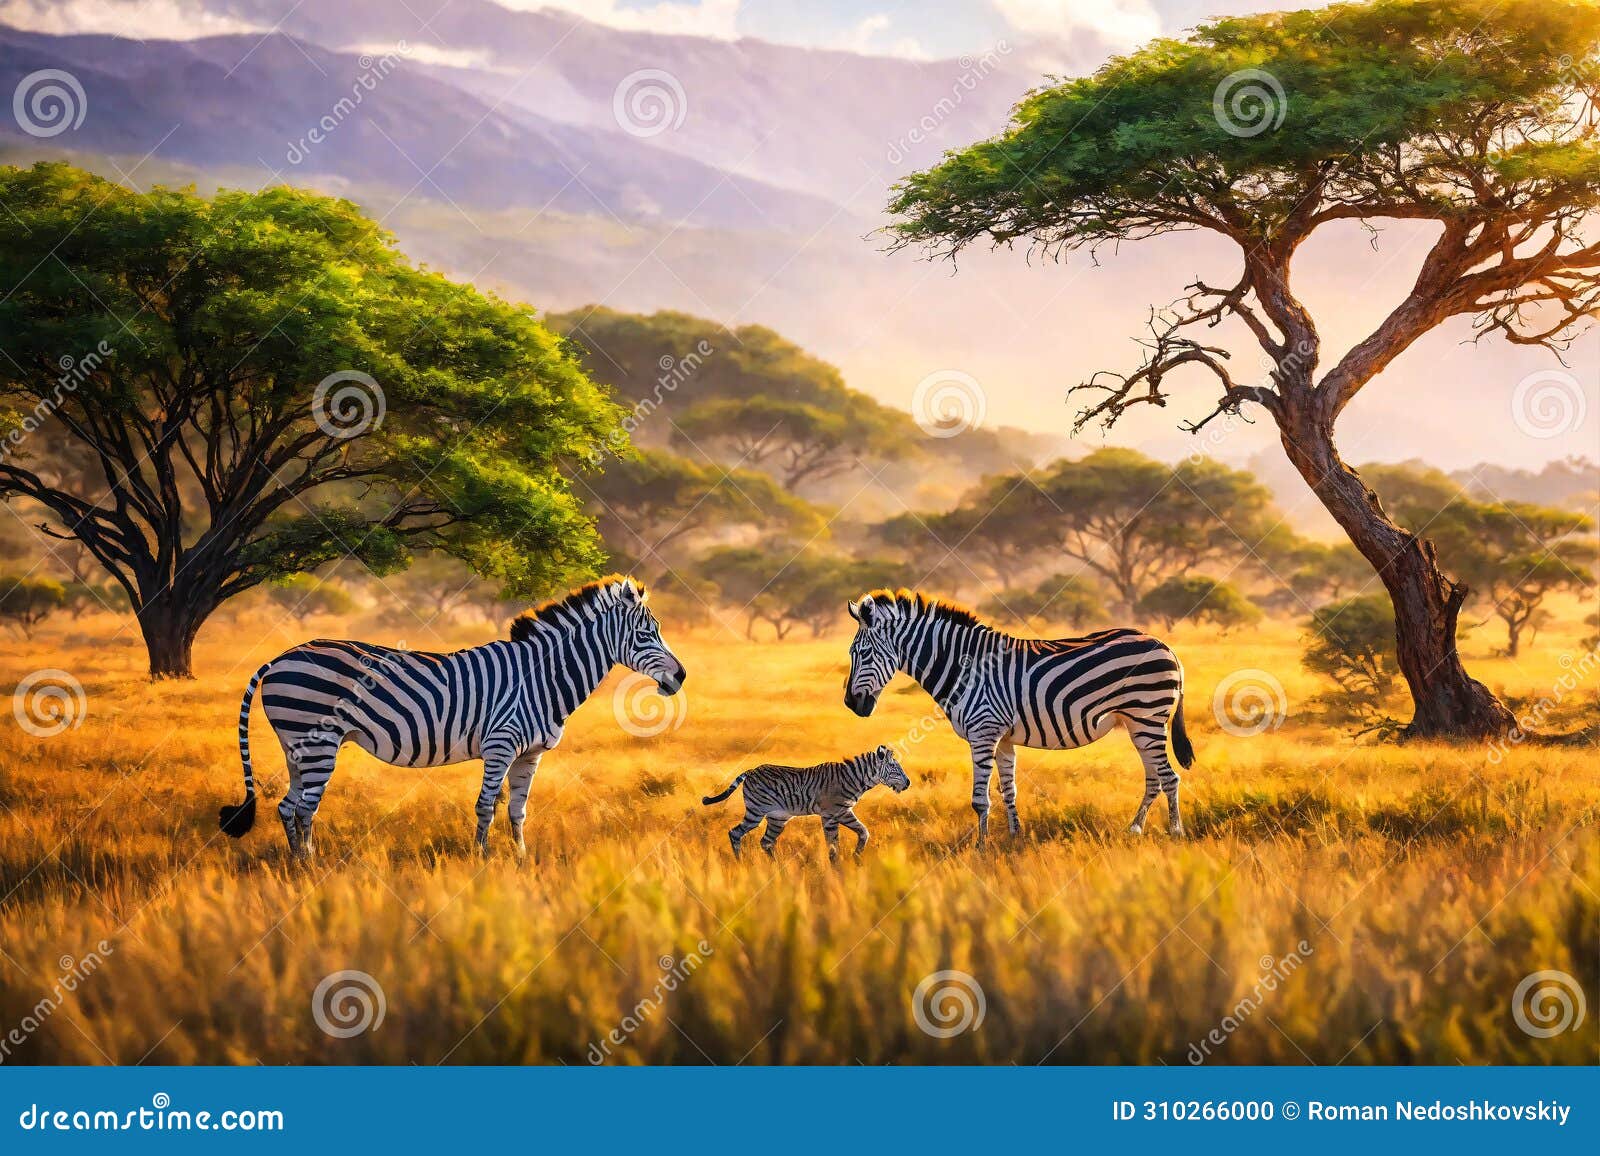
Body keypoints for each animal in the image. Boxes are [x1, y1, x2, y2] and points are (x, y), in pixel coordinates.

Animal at [218, 575, 686, 859]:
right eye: (645, 634)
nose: (681, 676)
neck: (543, 676)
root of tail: (281, 656)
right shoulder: (501, 743)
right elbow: (485, 806)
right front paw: (482, 861)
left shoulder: (530, 754)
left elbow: (518, 810)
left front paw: (521, 860)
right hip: (317, 742)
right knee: (303, 809)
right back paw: (310, 869)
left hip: (297, 745)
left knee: (287, 806)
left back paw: (297, 866)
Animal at [701, 744, 911, 860]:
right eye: (894, 767)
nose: (908, 783)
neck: (853, 779)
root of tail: (752, 770)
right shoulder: (832, 814)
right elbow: (834, 846)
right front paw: (837, 871)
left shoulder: (844, 812)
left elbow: (863, 832)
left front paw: (856, 858)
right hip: (756, 812)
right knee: (735, 833)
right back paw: (741, 864)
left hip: (777, 818)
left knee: (766, 842)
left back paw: (778, 869)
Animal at [843, 588, 1192, 845]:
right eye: (852, 654)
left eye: (864, 654)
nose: (850, 703)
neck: (962, 665)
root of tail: (1167, 646)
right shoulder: (1002, 738)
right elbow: (1008, 790)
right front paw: (1015, 837)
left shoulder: (983, 732)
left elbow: (980, 799)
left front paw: (981, 848)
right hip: (1139, 723)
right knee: (1154, 779)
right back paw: (1134, 829)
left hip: (1148, 715)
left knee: (1169, 778)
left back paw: (1175, 833)